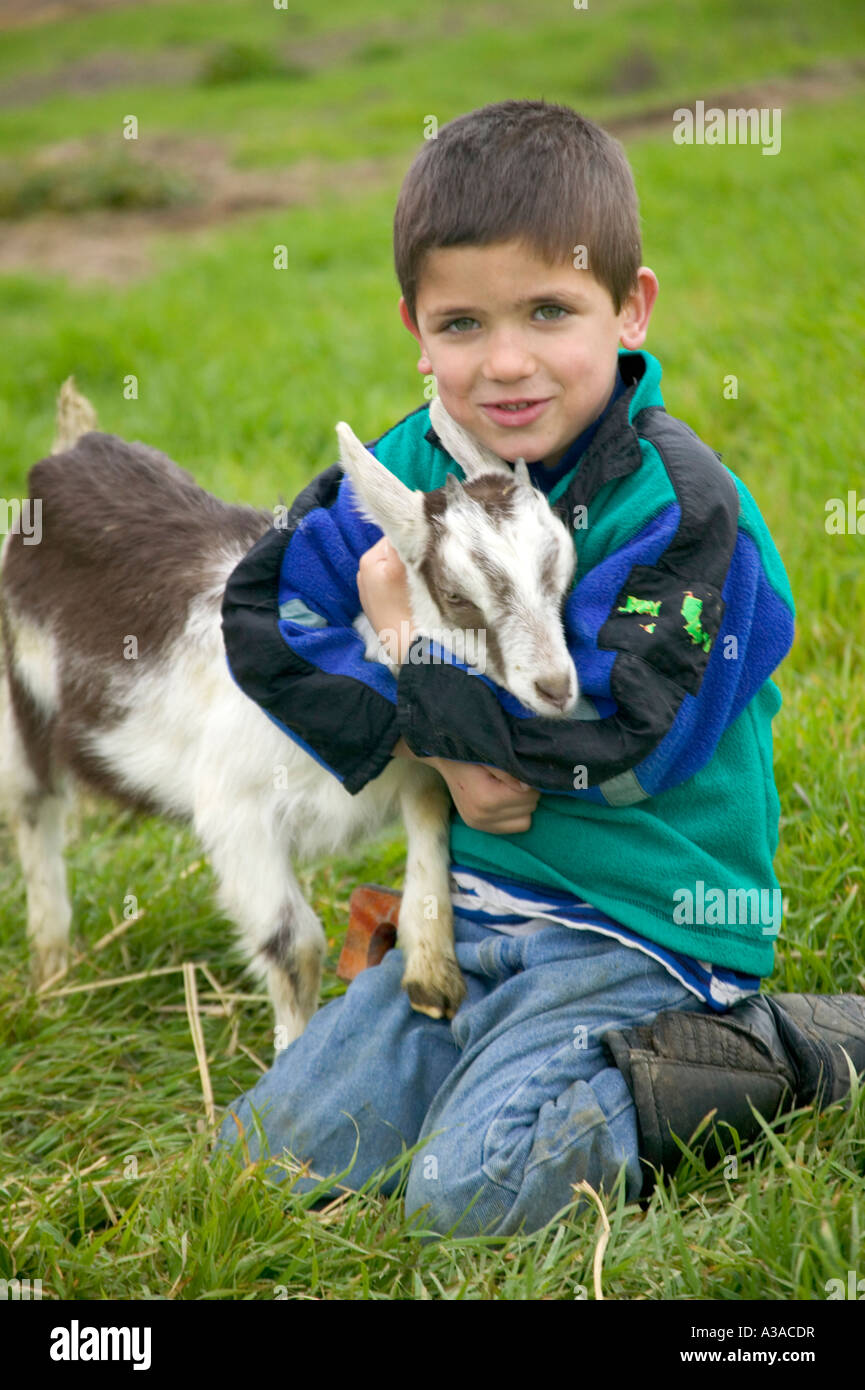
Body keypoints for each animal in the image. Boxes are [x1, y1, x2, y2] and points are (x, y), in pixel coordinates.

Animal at [0, 381, 578, 1046]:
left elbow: (430, 845)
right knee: (33, 811)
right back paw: (51, 976)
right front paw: (287, 1057)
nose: (556, 687)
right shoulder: (235, 813)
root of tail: (69, 446)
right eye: (457, 596)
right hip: (17, 707)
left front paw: (432, 980)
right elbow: (293, 943)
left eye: (561, 566)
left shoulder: (419, 775)